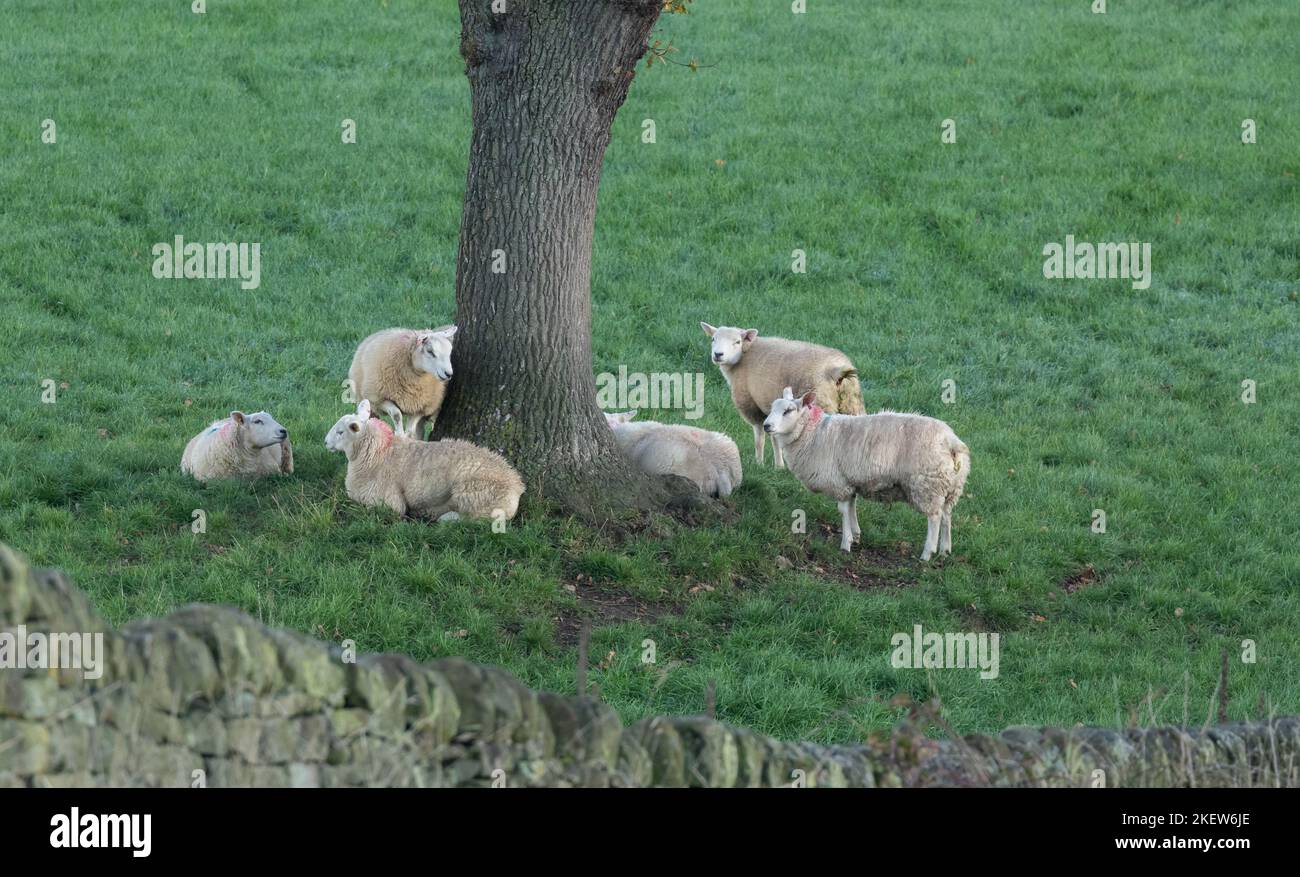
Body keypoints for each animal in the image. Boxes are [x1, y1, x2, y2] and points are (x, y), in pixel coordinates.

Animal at [324, 400, 524, 522]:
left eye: (341, 432)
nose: (325, 442)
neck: (379, 453)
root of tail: (517, 484)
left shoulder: (388, 503)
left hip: (474, 495)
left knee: (472, 519)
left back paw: (446, 518)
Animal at [700, 323, 864, 469]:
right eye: (713, 339)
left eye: (737, 342)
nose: (718, 355)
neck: (744, 355)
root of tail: (836, 371)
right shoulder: (773, 410)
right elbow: (775, 438)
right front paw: (778, 466)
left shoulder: (752, 405)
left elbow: (760, 439)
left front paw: (760, 464)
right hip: (852, 402)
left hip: (822, 401)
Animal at [763, 388, 969, 560]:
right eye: (772, 408)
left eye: (788, 411)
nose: (766, 426)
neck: (812, 433)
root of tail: (951, 441)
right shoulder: (849, 482)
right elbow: (852, 507)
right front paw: (856, 535)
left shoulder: (839, 483)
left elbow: (843, 510)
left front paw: (845, 544)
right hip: (950, 486)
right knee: (947, 514)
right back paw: (945, 550)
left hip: (927, 485)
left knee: (934, 518)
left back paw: (927, 553)